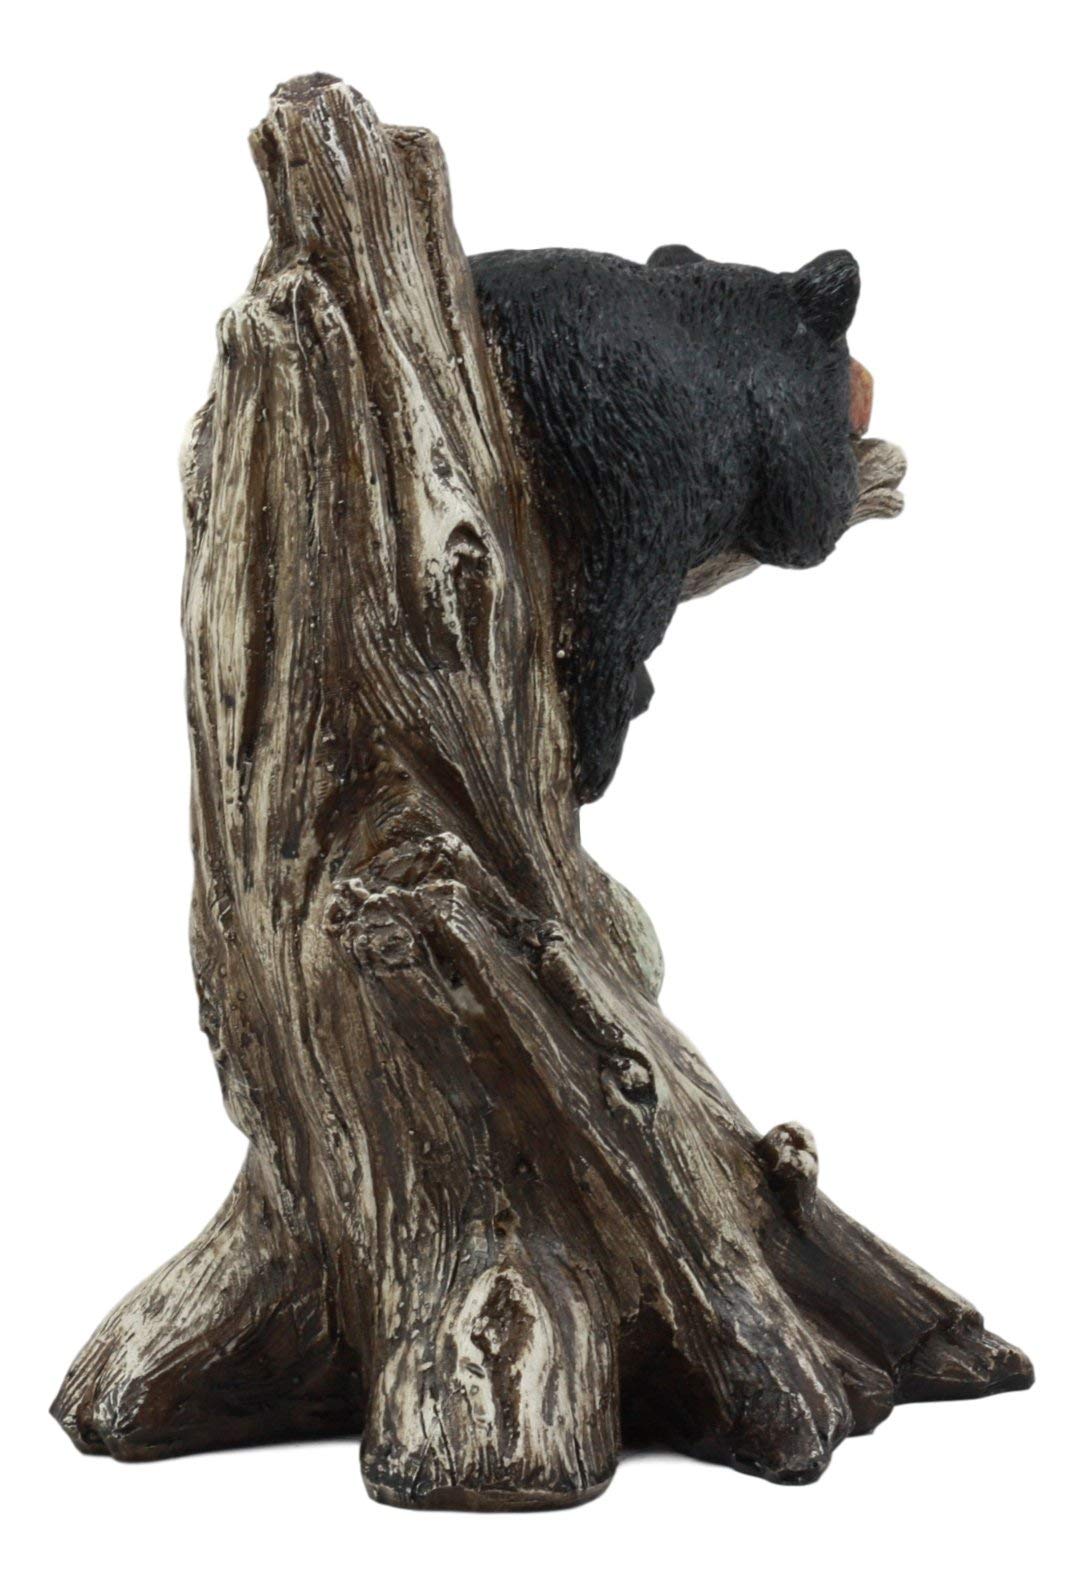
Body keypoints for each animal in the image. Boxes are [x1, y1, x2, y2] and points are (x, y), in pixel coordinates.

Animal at [469, 243, 877, 803]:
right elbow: (809, 522)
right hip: (629, 493)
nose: (870, 384)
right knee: (610, 628)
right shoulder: (783, 423)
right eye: (842, 357)